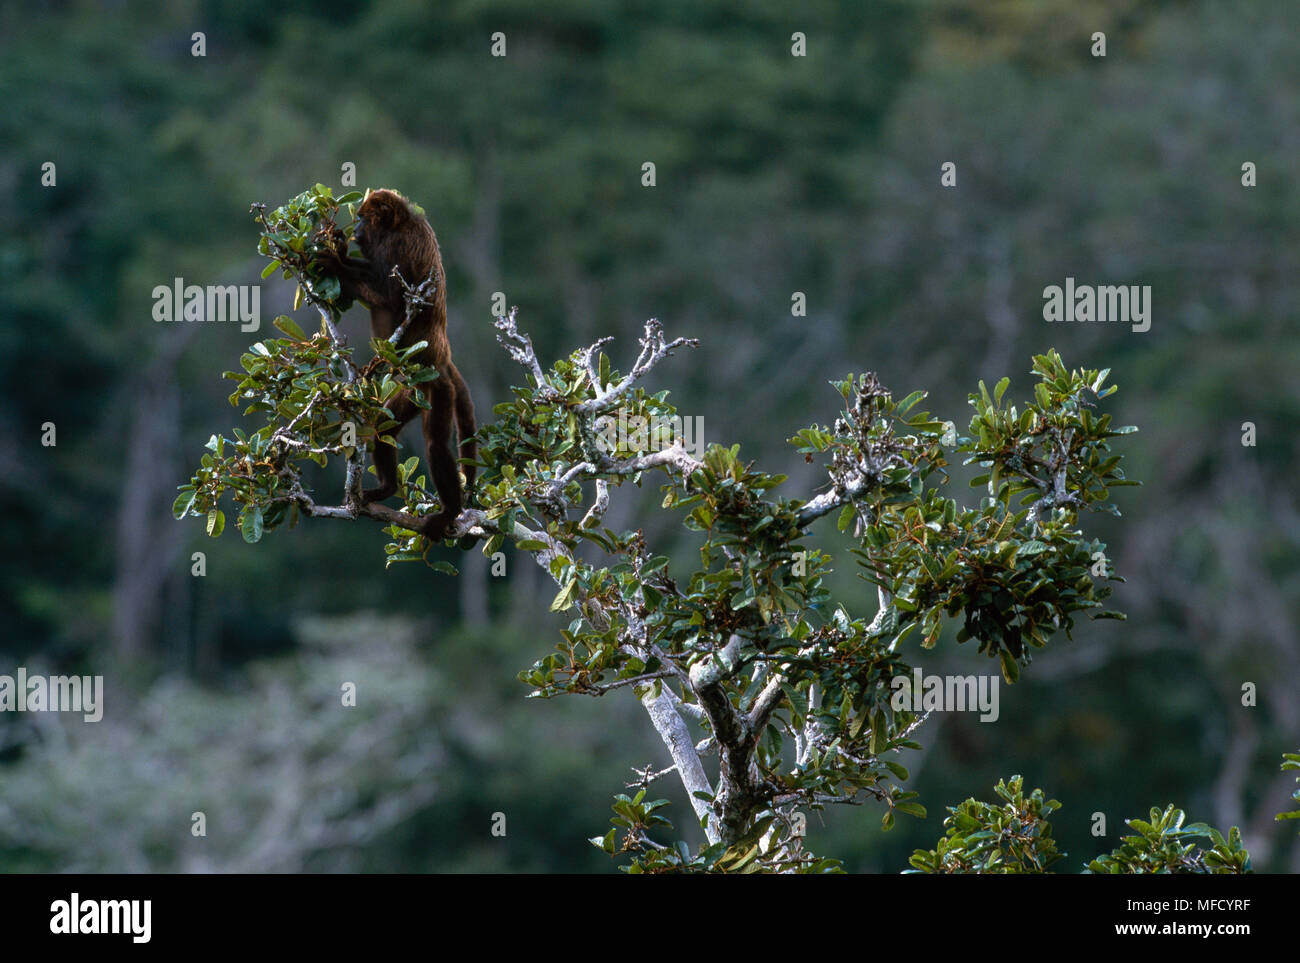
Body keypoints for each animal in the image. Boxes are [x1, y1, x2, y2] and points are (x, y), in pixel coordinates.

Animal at [317, 189, 476, 541]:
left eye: (364, 218)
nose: (356, 228)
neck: (398, 224)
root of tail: (444, 357)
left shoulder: (397, 247)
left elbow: (389, 297)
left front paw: (333, 262)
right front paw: (336, 250)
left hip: (436, 386)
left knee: (436, 445)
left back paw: (450, 513)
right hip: (413, 389)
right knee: (381, 426)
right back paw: (387, 487)